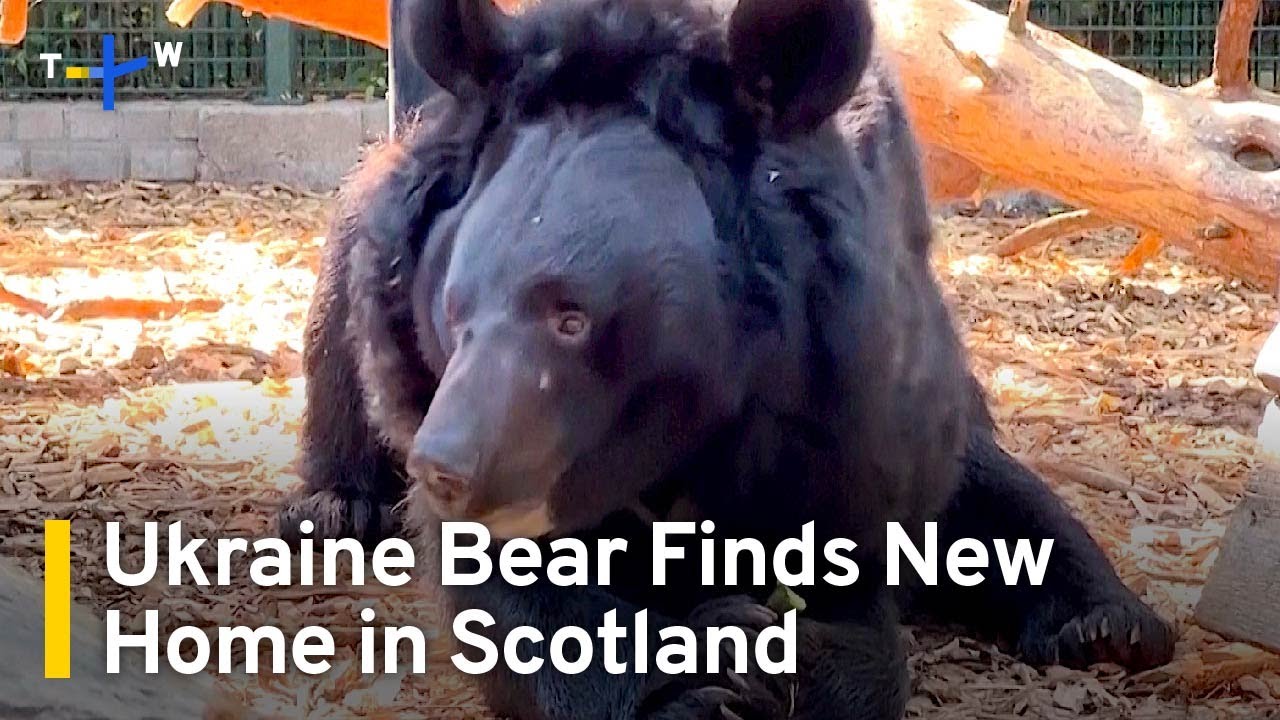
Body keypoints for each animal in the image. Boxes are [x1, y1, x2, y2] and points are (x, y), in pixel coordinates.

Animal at [279, 0, 1176, 717]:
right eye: (455, 311)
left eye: (573, 319)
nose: (448, 470)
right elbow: (514, 599)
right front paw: (699, 679)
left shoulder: (867, 395)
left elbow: (941, 522)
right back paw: (335, 505)